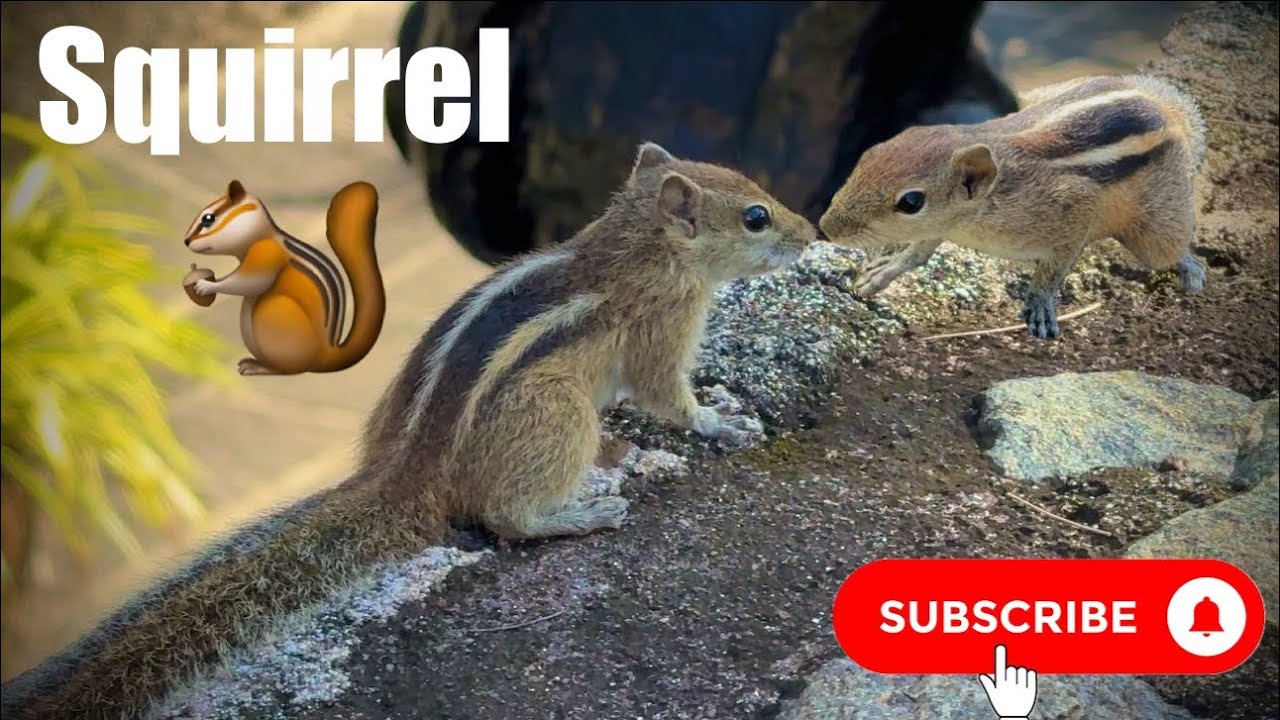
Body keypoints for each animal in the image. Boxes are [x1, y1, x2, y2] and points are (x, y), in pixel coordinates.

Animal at [182, 179, 386, 375]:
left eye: (208, 218)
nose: (186, 241)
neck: (262, 234)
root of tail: (326, 355)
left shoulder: (267, 252)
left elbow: (250, 282)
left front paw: (206, 285)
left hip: (273, 312)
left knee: (289, 369)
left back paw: (260, 369)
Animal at [817, 73, 1209, 339]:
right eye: (869, 155)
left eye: (911, 202)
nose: (827, 227)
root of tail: (1166, 108)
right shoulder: (940, 228)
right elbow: (917, 255)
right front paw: (881, 273)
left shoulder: (1075, 205)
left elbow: (1055, 267)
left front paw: (1040, 303)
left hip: (1158, 223)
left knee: (1172, 247)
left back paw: (1190, 269)